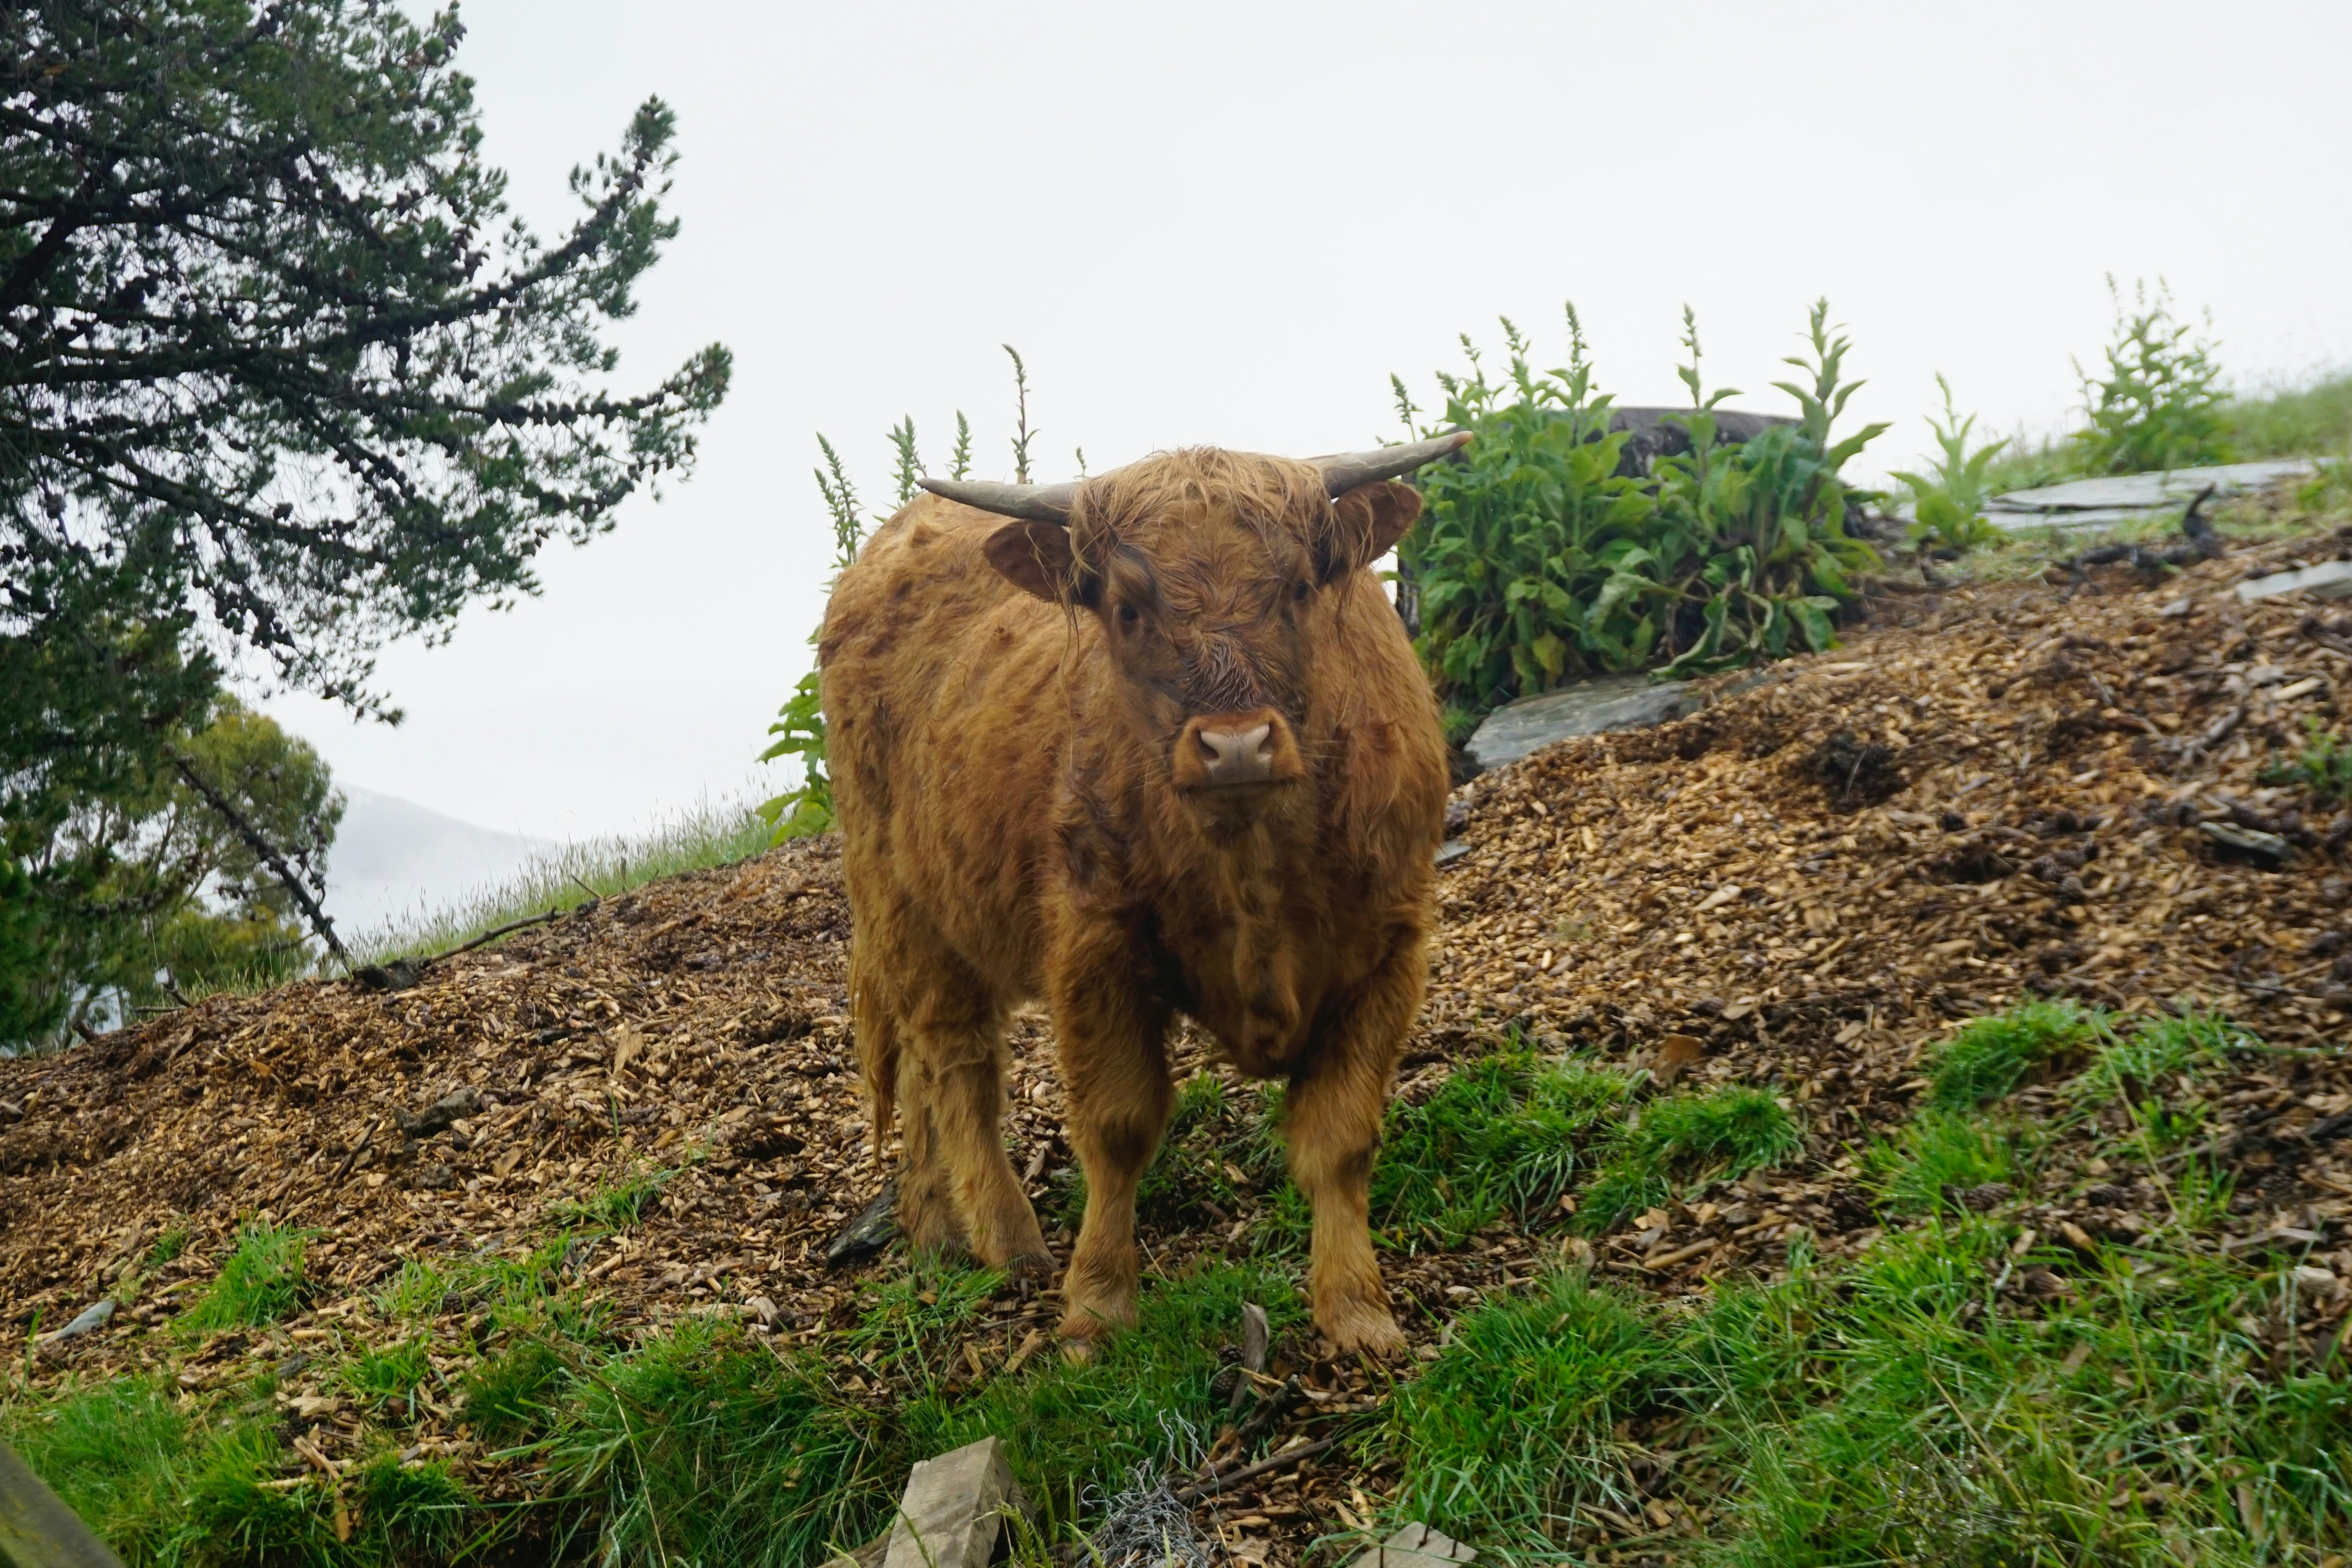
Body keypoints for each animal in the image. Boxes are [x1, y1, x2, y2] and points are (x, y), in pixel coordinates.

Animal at [818, 432, 1463, 1355]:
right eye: (1127, 610)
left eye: (1299, 587)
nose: (1237, 746)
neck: (1249, 858)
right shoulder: (1096, 947)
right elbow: (1117, 1129)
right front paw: (1094, 1309)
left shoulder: (1388, 951)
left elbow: (1340, 1139)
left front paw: (1356, 1310)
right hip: (905, 905)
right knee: (955, 1064)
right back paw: (1008, 1240)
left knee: (917, 1070)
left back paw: (933, 1230)